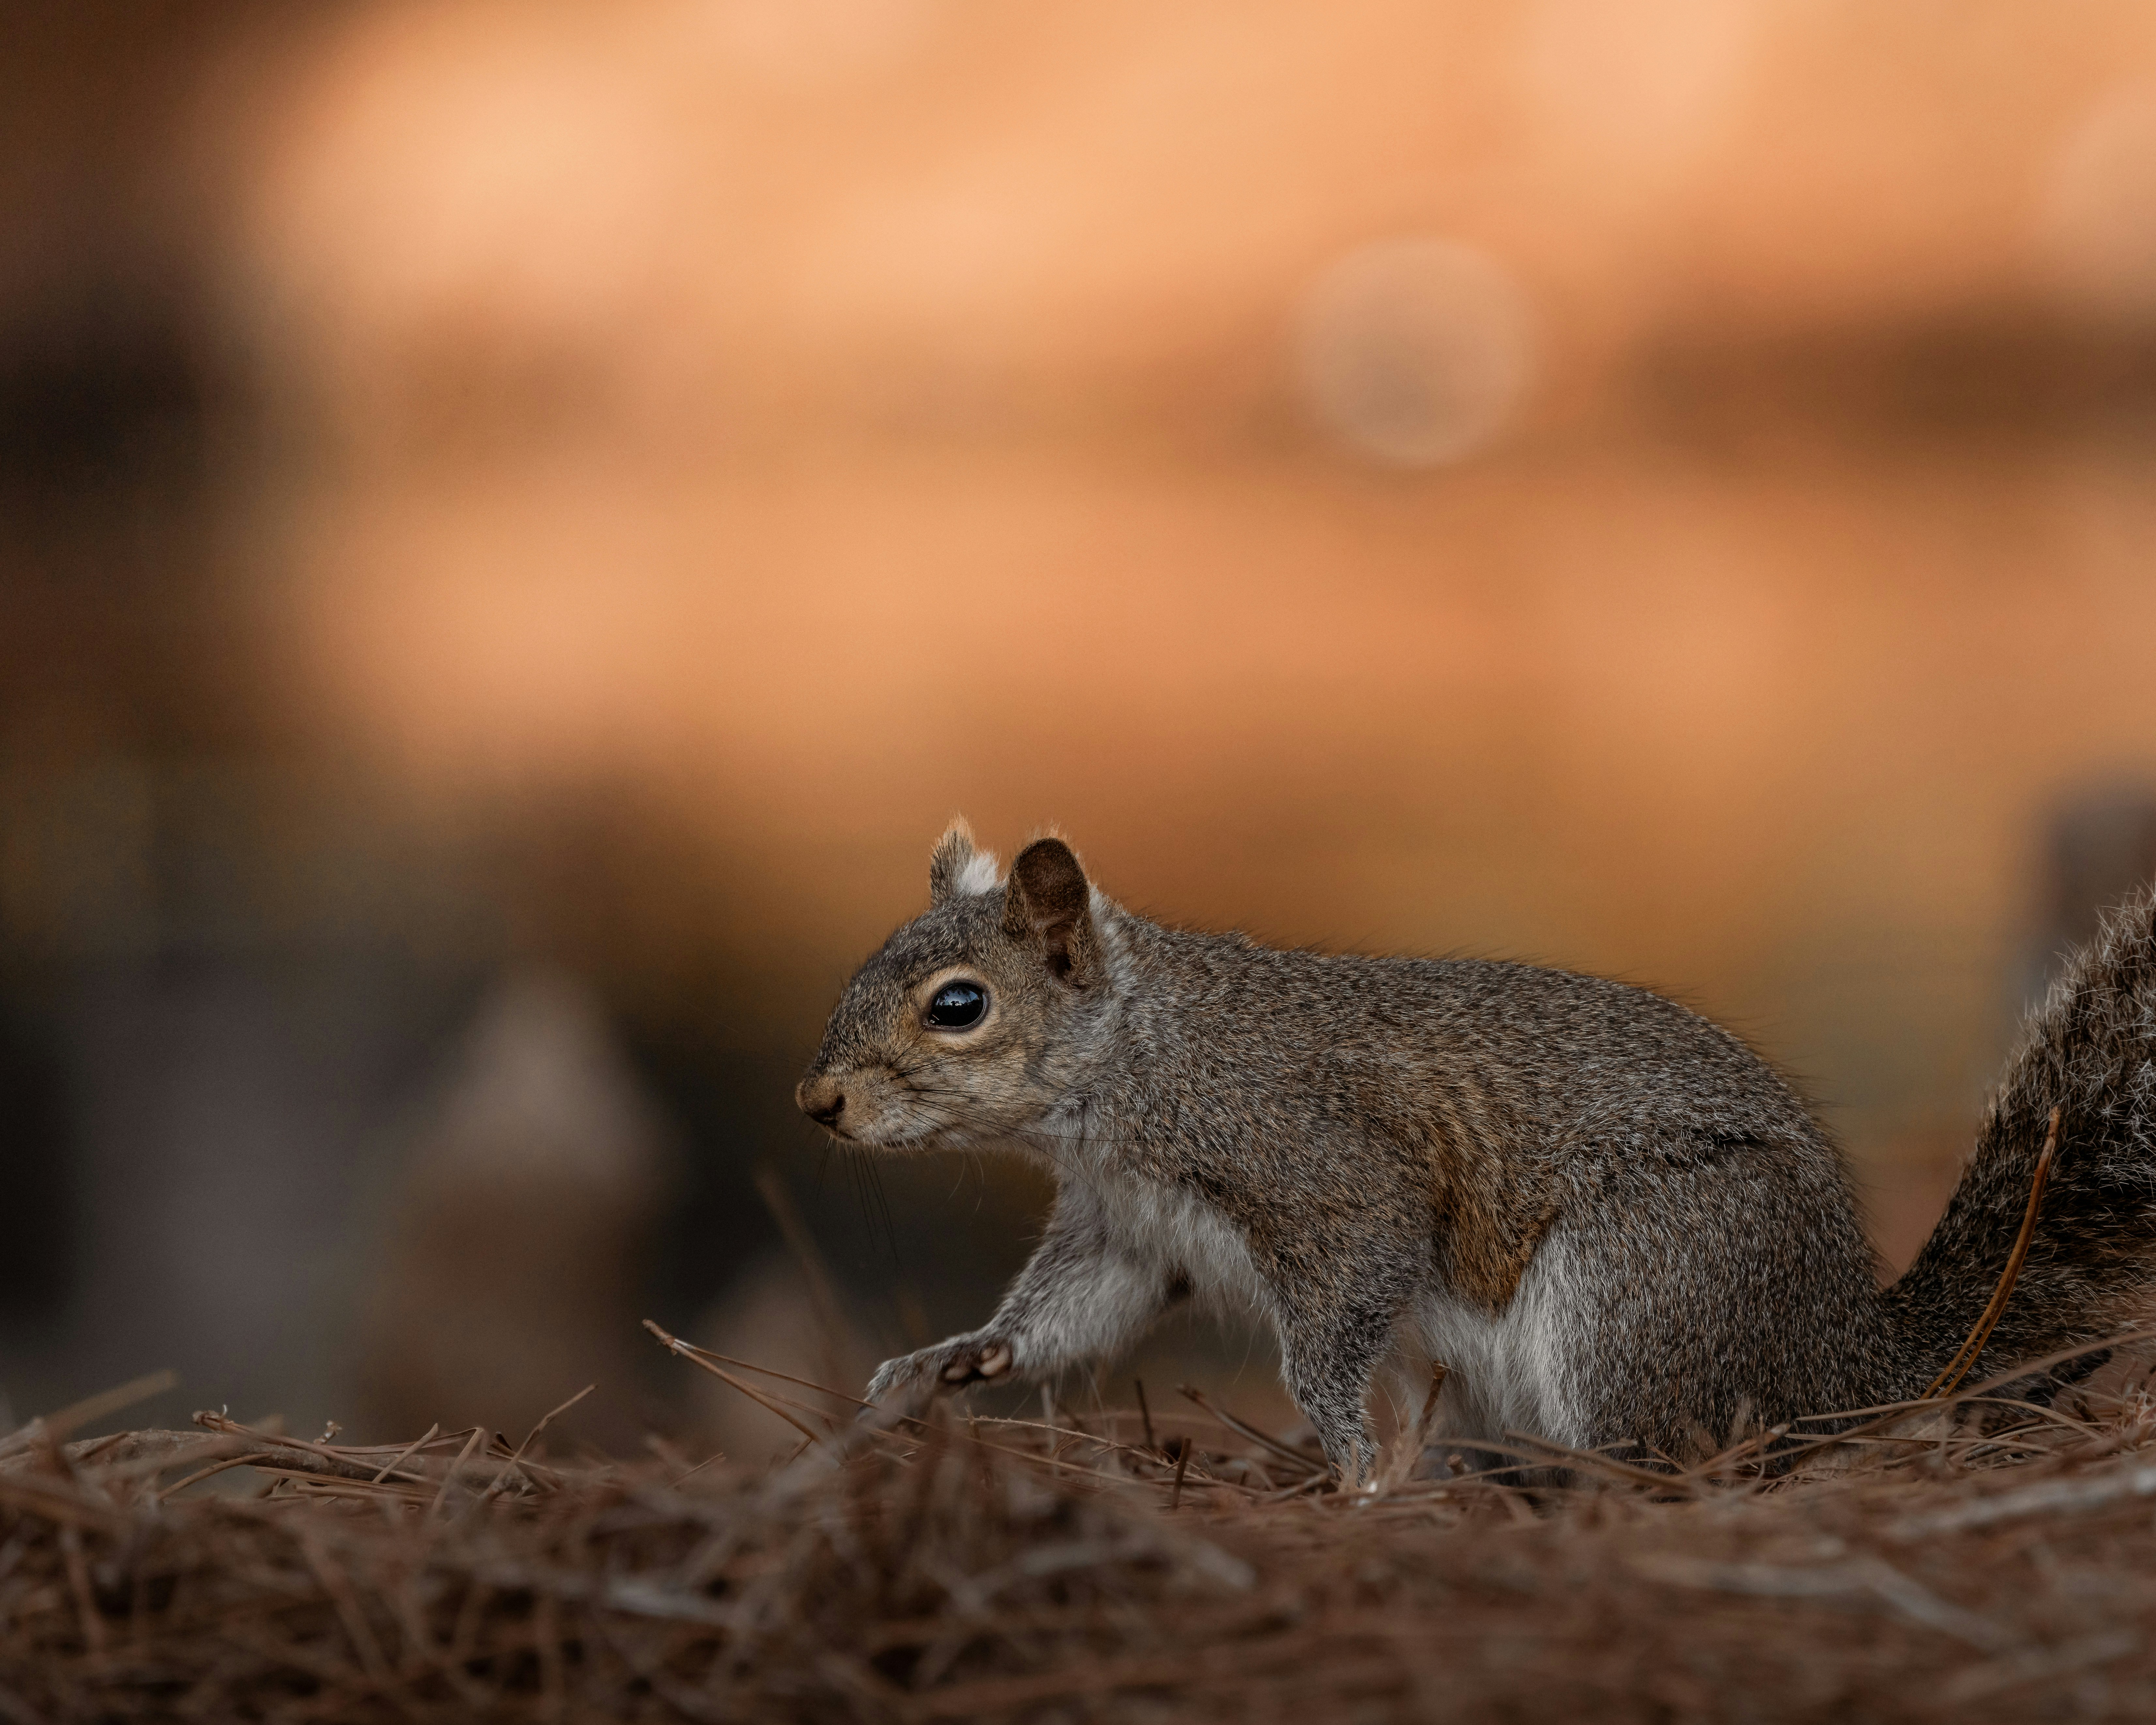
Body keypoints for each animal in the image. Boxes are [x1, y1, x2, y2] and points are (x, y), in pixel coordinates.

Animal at [796, 819, 2156, 1480]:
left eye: (957, 1005)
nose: (815, 1102)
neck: (1136, 1058)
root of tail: (1842, 1358)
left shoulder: (1320, 1167)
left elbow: (1348, 1295)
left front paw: (1346, 1450)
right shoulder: (1128, 1231)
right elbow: (1069, 1311)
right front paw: (954, 1356)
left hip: (1644, 1279)